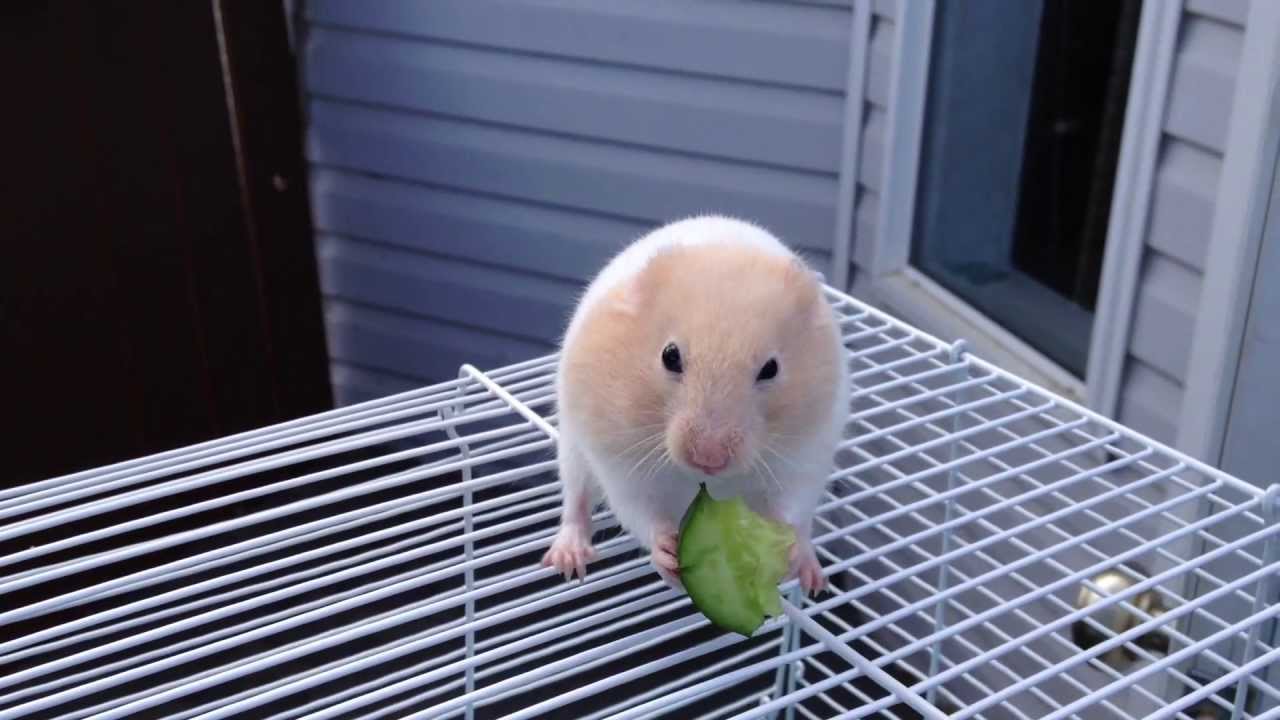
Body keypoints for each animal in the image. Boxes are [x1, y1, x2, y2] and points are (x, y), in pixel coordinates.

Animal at [540, 215, 849, 596]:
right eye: (669, 356)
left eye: (771, 368)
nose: (708, 459)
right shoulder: (621, 468)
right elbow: (643, 515)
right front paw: (668, 556)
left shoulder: (804, 461)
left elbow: (790, 511)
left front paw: (789, 554)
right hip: (571, 449)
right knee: (576, 501)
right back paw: (567, 560)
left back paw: (814, 578)